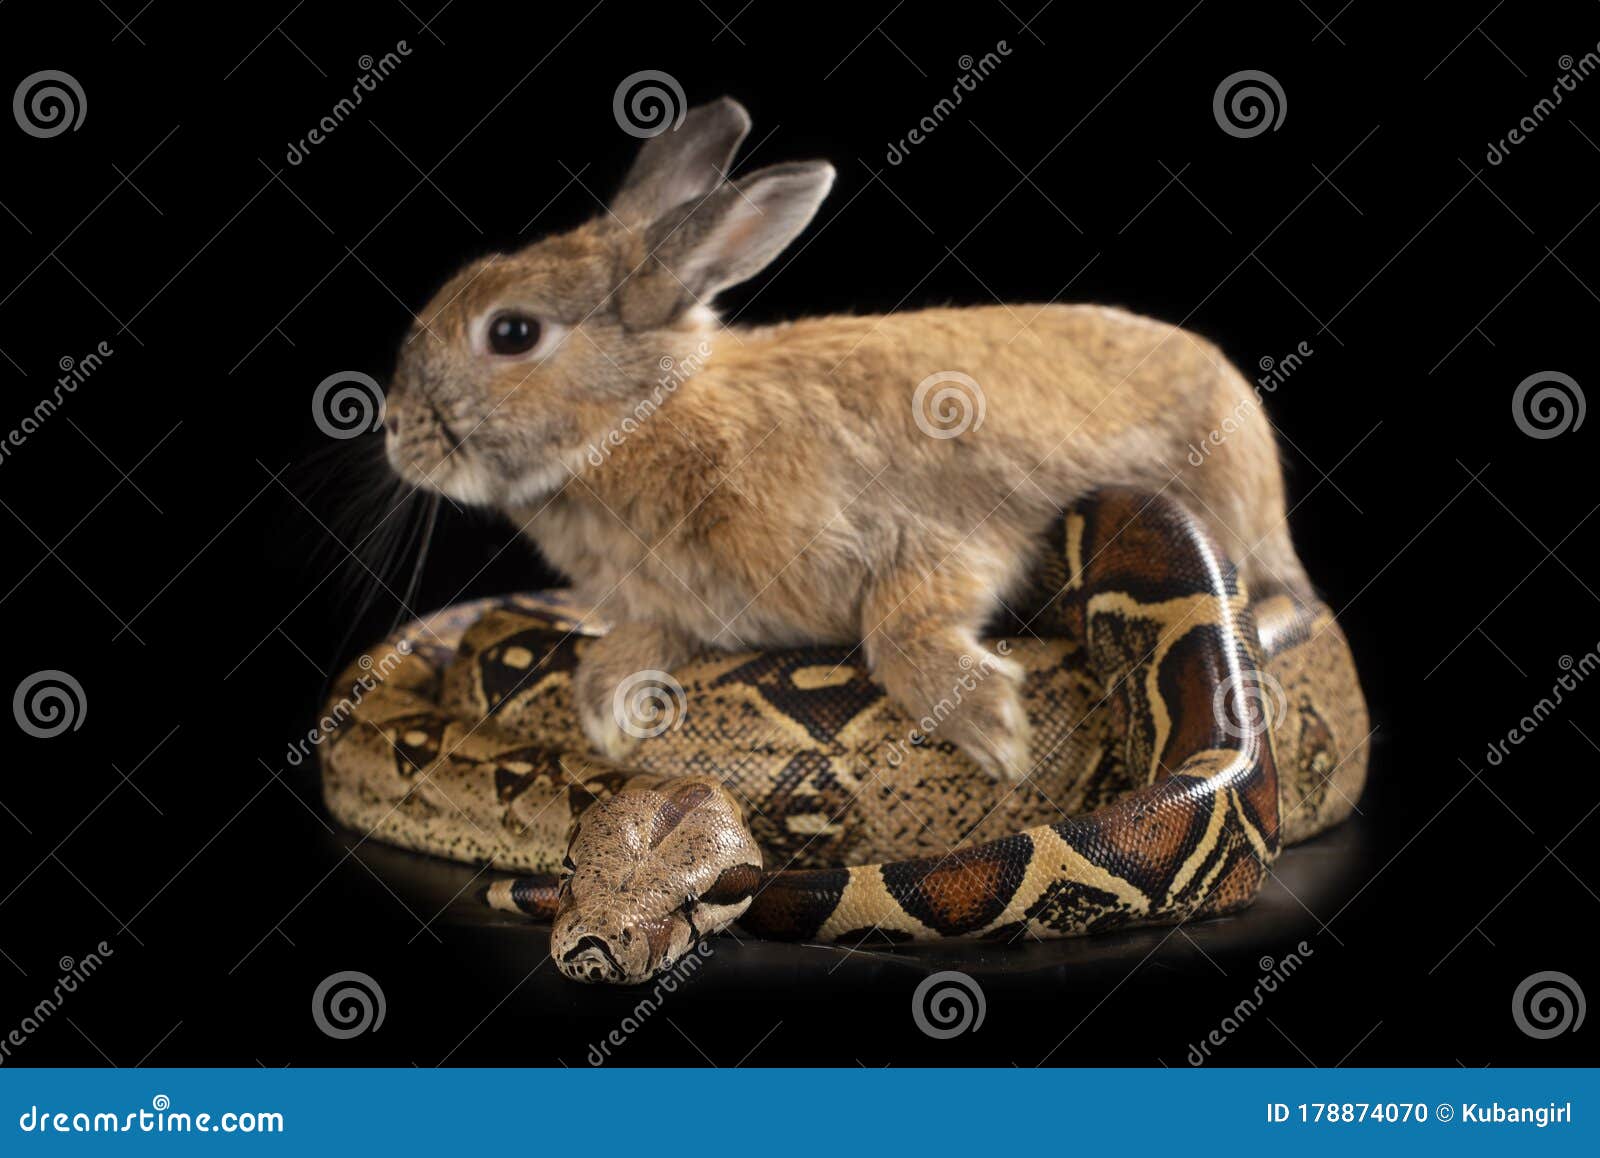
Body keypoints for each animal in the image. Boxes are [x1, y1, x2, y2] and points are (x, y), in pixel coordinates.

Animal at [383, 96, 1311, 782]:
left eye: (511, 333)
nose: (391, 430)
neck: (649, 420)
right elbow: (642, 642)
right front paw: (608, 703)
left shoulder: (938, 537)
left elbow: (900, 627)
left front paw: (994, 729)